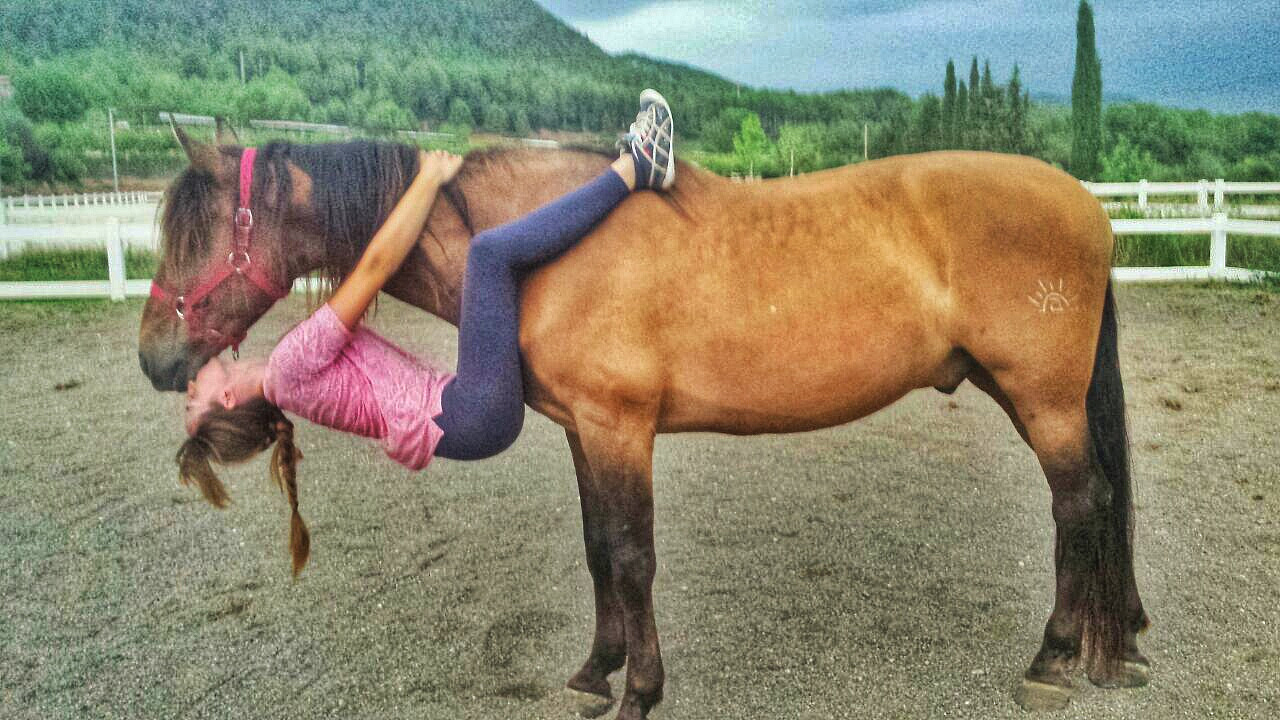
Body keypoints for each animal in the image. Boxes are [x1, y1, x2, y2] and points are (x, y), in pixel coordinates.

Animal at [138, 124, 1150, 719]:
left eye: (197, 233)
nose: (156, 358)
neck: (543, 245)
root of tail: (1088, 207)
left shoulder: (620, 427)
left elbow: (631, 556)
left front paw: (640, 694)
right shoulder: (584, 431)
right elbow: (598, 552)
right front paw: (595, 672)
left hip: (1042, 401)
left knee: (1081, 505)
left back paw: (1054, 660)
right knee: (1095, 507)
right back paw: (1113, 645)